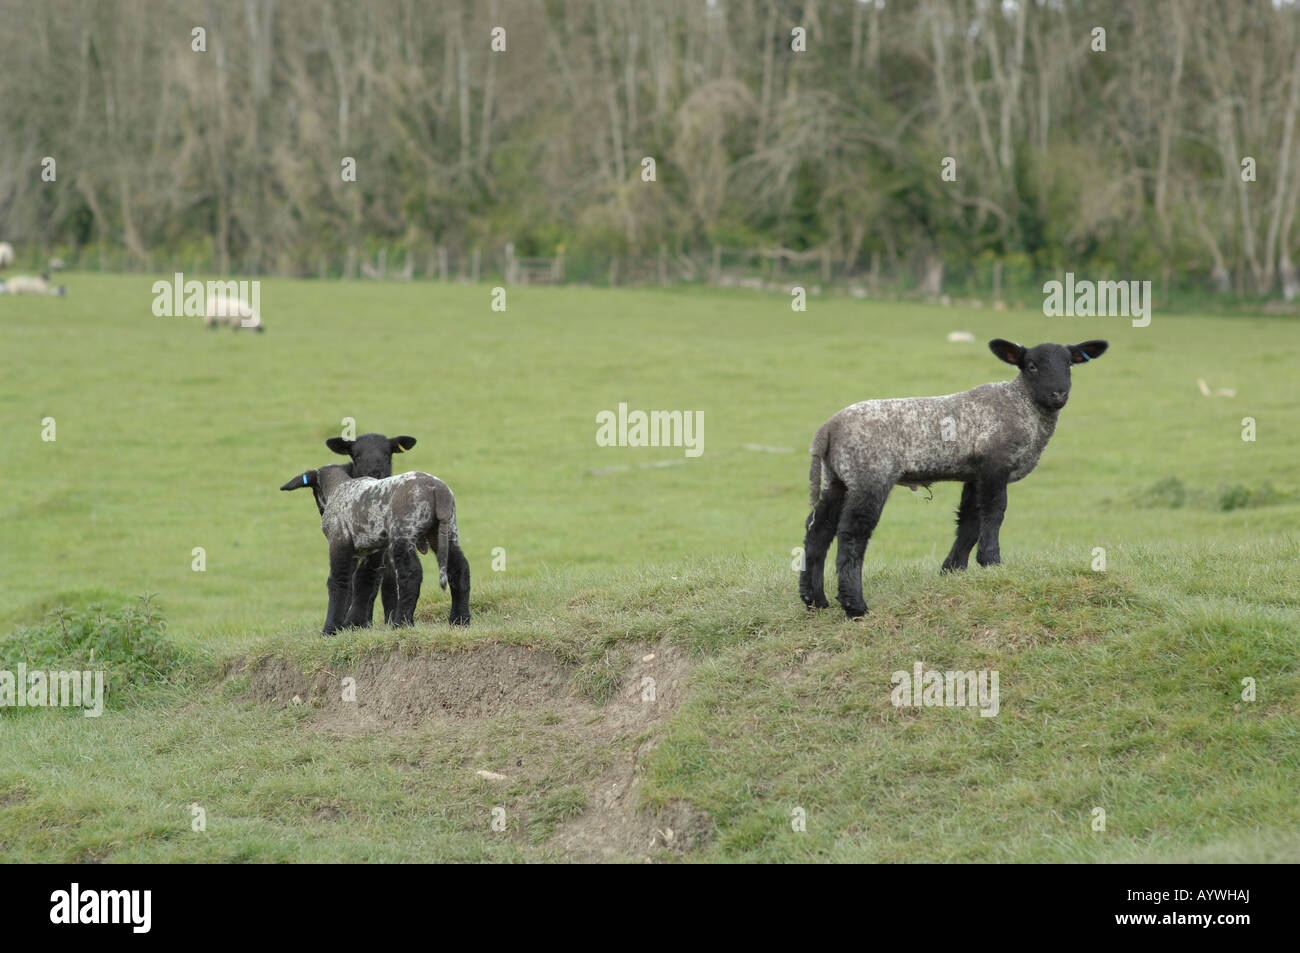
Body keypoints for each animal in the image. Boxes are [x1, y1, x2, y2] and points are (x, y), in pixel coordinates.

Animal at [280, 464, 471, 634]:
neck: (338, 488)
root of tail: (437, 489)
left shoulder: (338, 538)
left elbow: (338, 581)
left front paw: (331, 629)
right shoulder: (373, 547)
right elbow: (364, 581)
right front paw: (354, 625)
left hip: (403, 531)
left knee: (411, 574)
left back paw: (401, 623)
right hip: (446, 530)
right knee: (459, 569)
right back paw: (460, 620)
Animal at [799, 338, 1109, 618]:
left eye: (1069, 364)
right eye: (1031, 366)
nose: (1058, 394)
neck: (1021, 405)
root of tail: (828, 429)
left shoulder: (974, 473)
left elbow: (970, 521)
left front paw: (953, 570)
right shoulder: (995, 464)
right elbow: (994, 511)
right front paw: (991, 561)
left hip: (836, 480)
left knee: (818, 531)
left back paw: (815, 600)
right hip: (870, 475)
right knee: (852, 534)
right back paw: (855, 606)